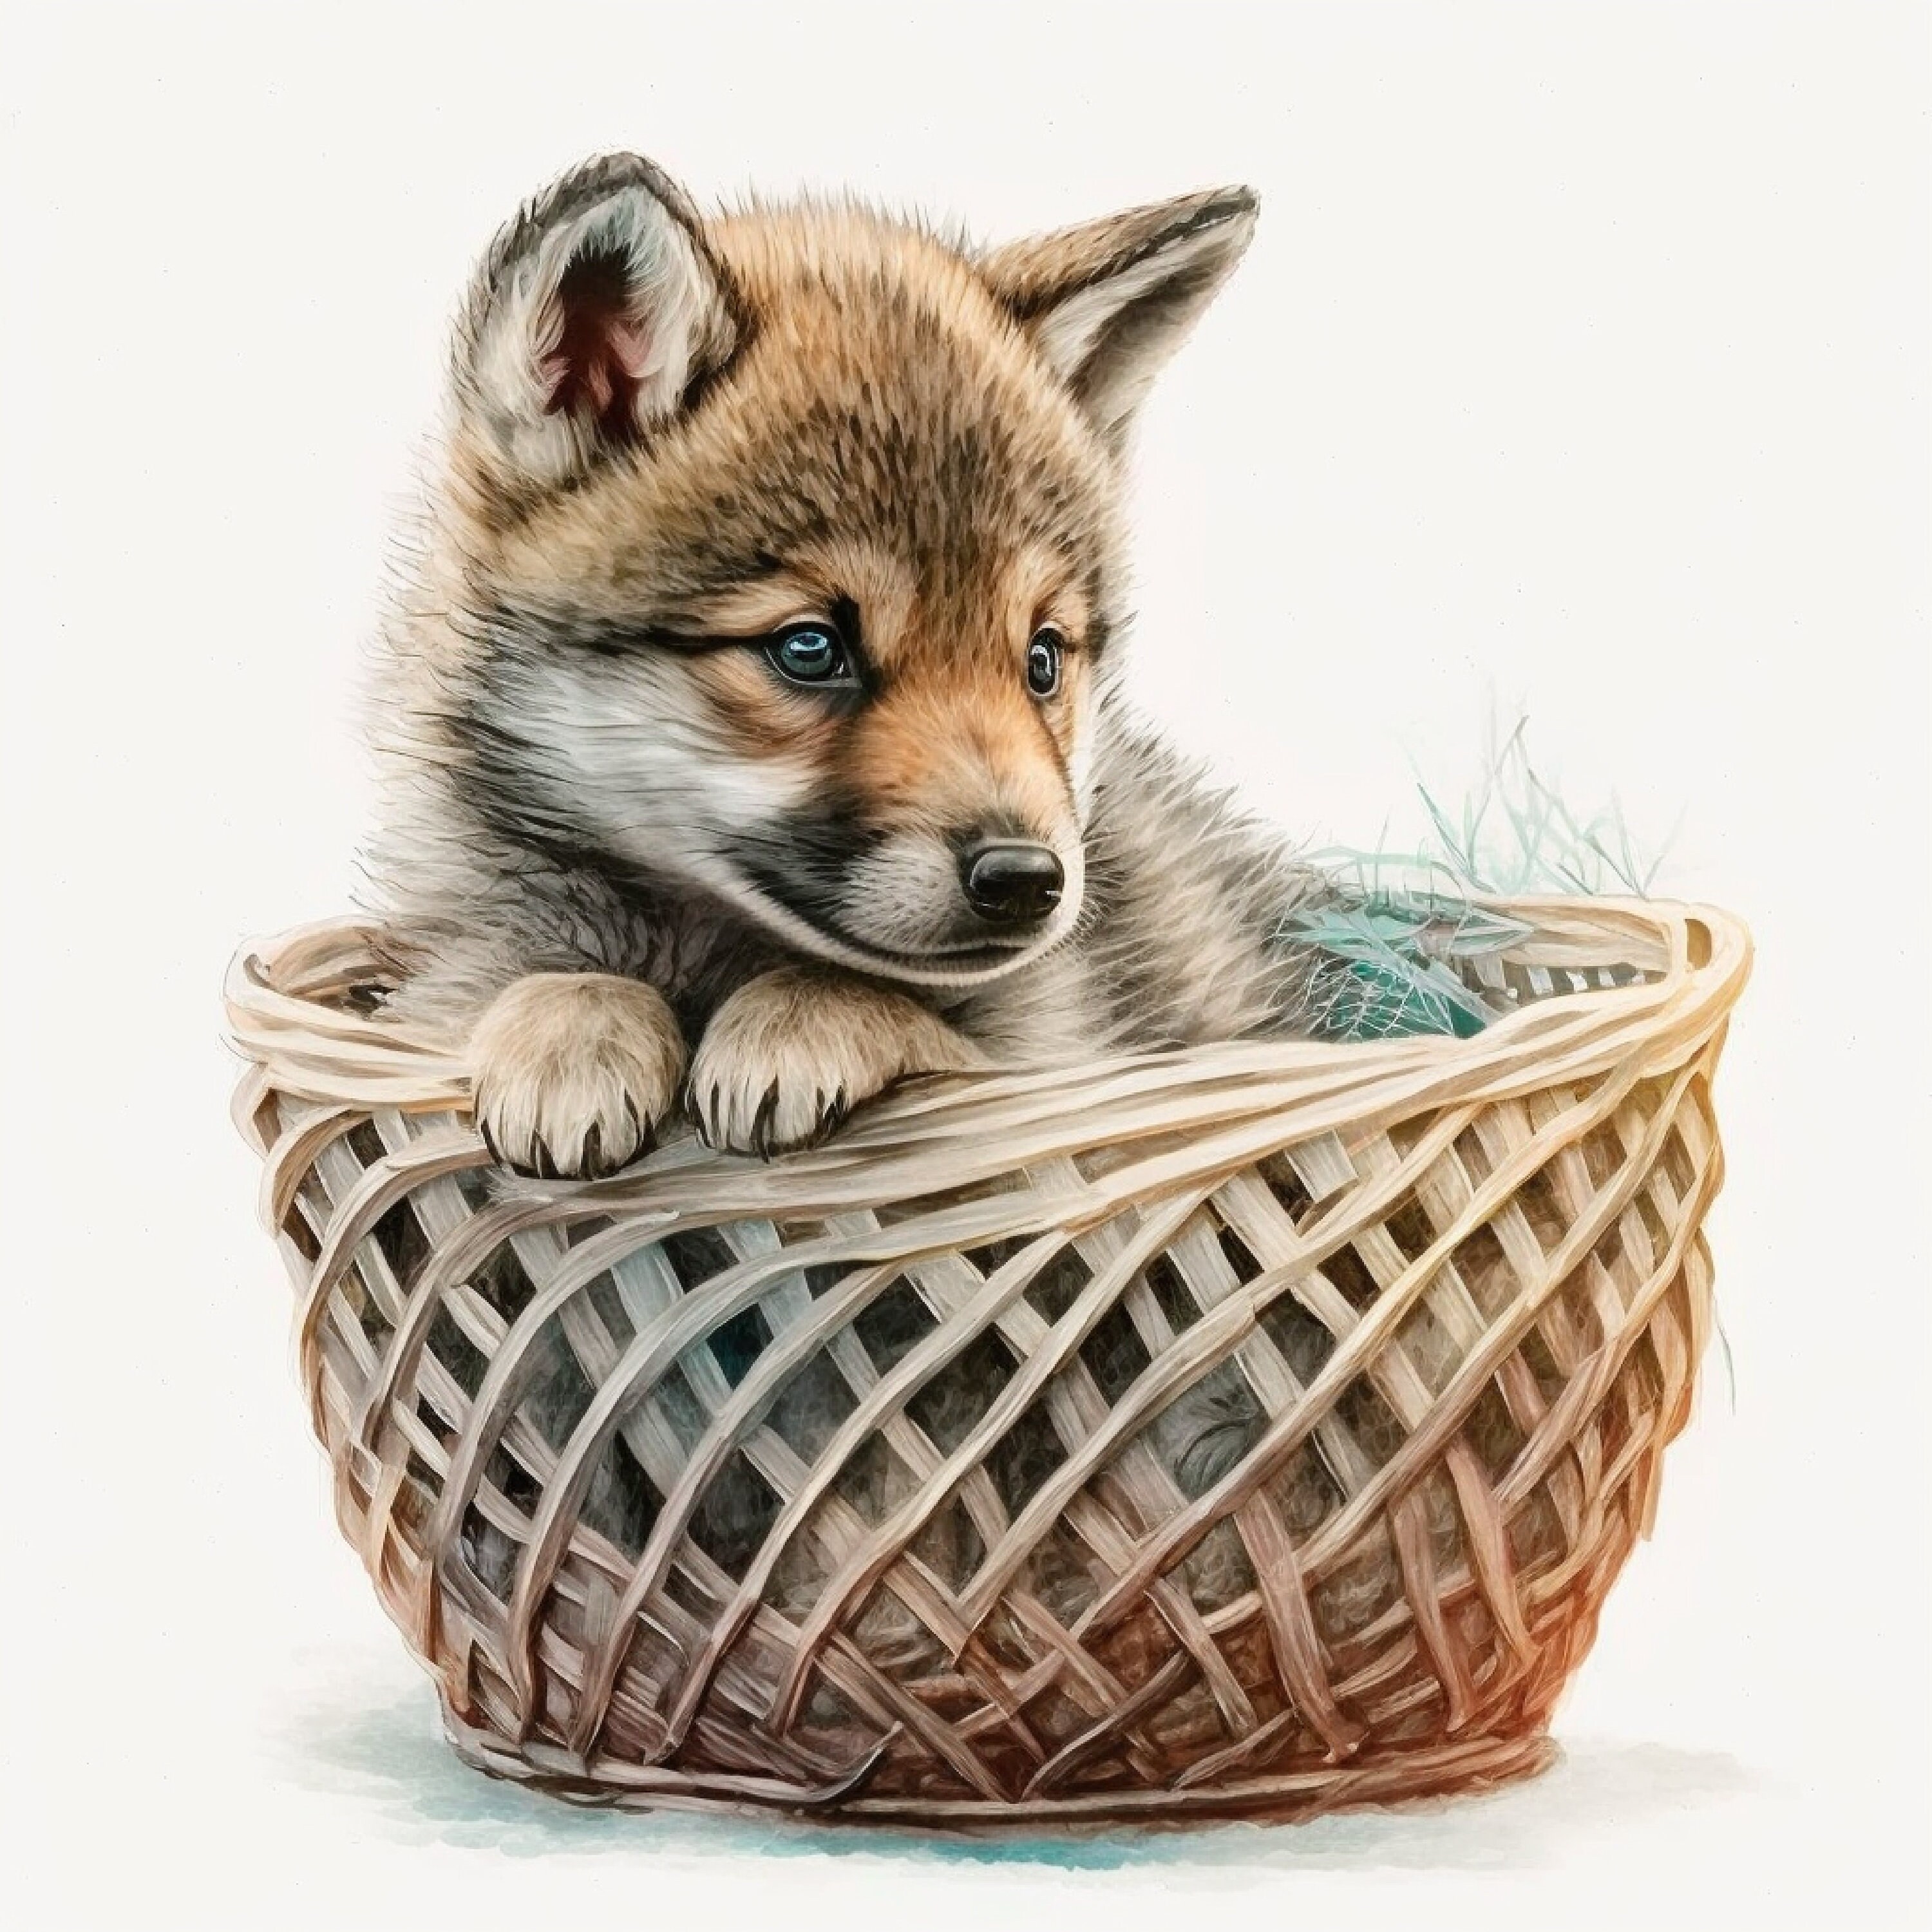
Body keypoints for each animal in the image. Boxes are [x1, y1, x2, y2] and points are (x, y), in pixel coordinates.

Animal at [363, 152, 1333, 1176]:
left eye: (1041, 661)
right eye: (810, 649)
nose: (1027, 881)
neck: (704, 958)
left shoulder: (1062, 1065)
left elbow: (910, 1018)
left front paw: (808, 1012)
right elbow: (549, 983)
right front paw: (571, 1025)